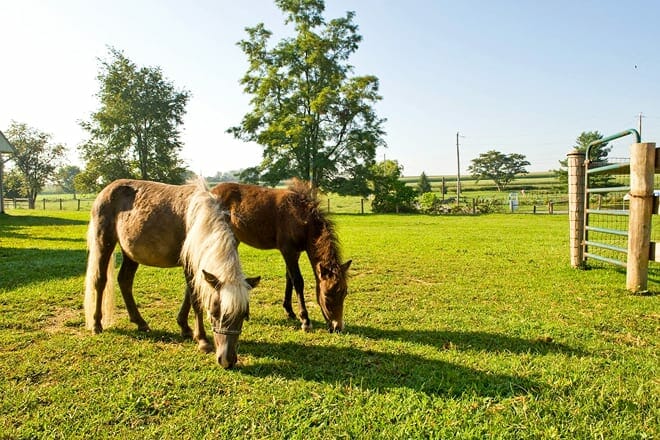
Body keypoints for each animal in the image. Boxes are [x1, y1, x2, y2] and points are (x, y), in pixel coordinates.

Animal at [83, 178, 260, 368]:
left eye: (244, 315)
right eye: (214, 313)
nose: (227, 360)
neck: (199, 218)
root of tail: (107, 189)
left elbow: (189, 295)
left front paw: (185, 328)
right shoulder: (189, 263)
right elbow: (195, 299)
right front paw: (202, 340)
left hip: (129, 253)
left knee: (125, 281)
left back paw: (140, 322)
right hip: (104, 242)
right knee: (100, 281)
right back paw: (97, 324)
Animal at [179, 179, 351, 333]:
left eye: (344, 293)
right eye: (327, 296)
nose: (337, 327)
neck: (302, 217)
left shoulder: (295, 252)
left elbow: (289, 278)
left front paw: (289, 311)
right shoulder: (287, 250)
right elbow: (297, 281)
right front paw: (305, 320)